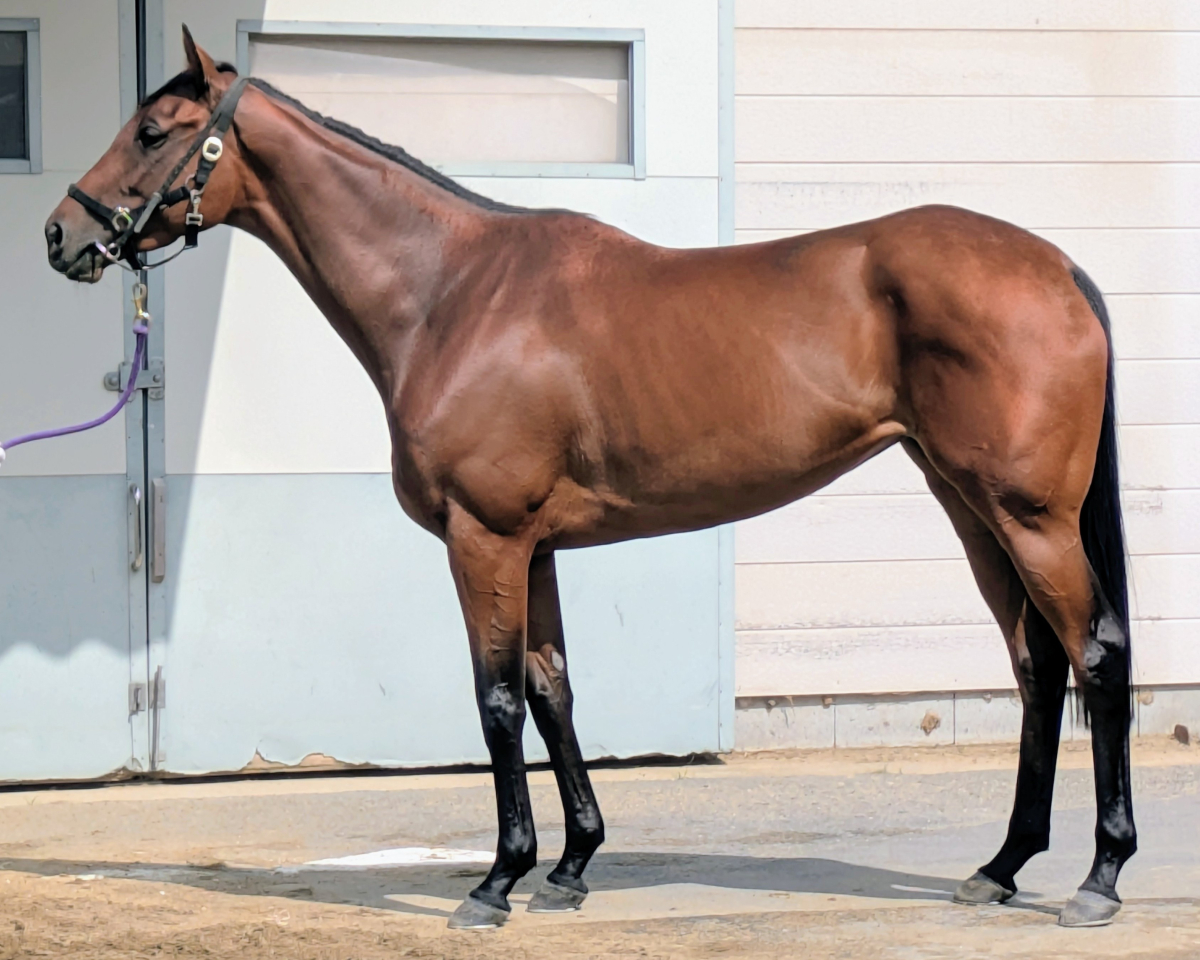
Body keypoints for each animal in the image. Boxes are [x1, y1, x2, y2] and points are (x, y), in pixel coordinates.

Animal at [44, 28, 1135, 930]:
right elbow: (553, 688)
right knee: (1037, 668)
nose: (61, 235)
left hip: (1029, 516)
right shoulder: (535, 547)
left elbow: (495, 700)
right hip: (971, 509)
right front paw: (569, 867)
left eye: (151, 131)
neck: (452, 295)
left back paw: (1098, 878)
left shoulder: (484, 537)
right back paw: (1001, 867)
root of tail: (1058, 269)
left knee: (1096, 655)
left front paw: (496, 882)